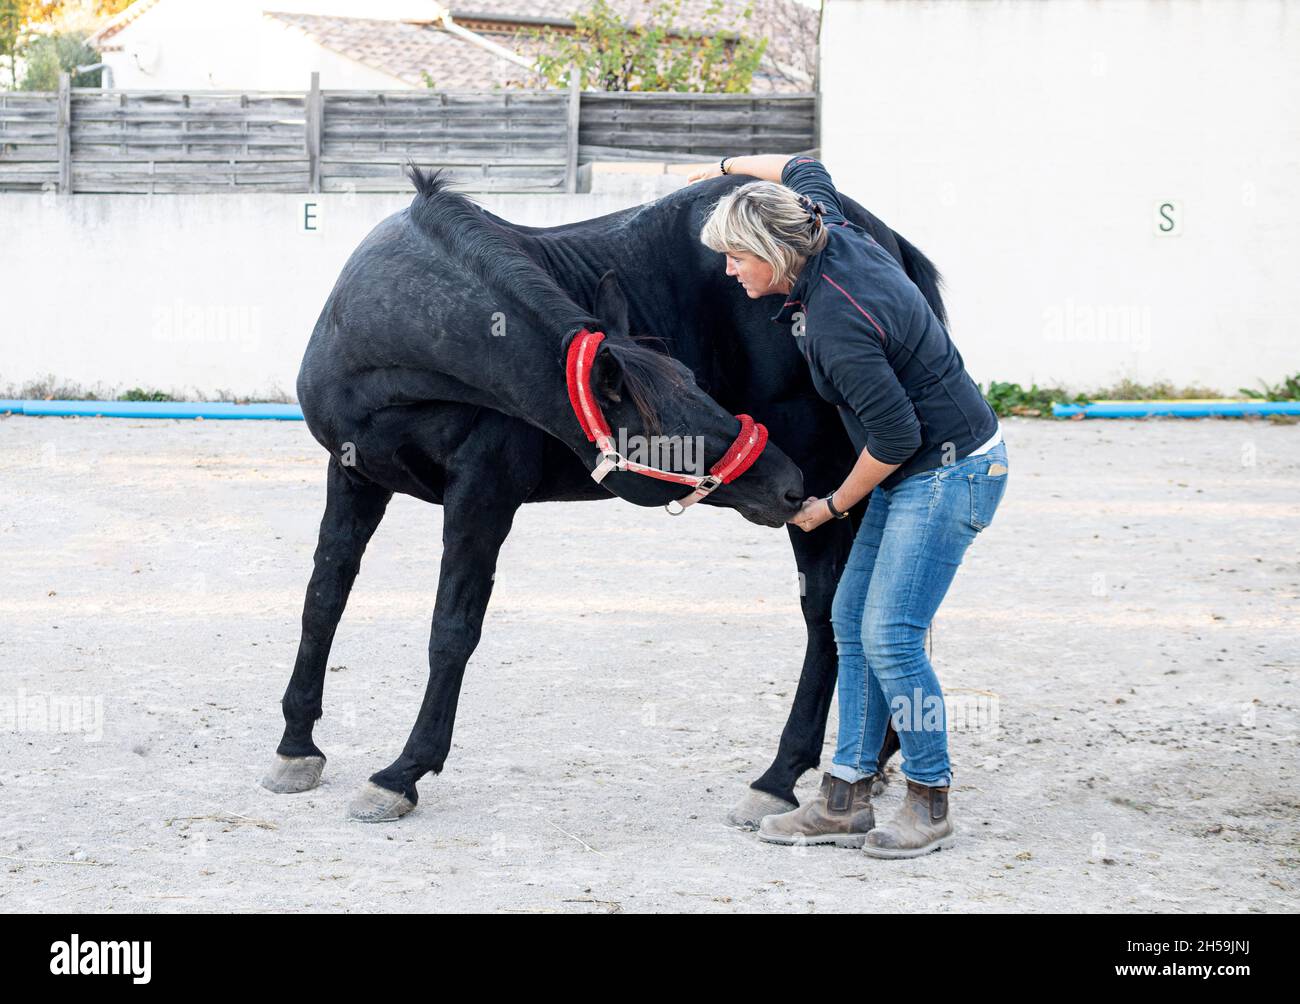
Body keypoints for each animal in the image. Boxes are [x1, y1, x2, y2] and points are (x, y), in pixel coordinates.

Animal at [263, 164, 945, 824]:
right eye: (674, 430)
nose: (787, 485)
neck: (385, 331)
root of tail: (873, 241)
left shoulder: (482, 493)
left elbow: (451, 629)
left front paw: (401, 772)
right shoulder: (352, 476)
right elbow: (322, 600)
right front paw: (296, 746)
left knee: (827, 615)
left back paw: (779, 779)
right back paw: (875, 762)